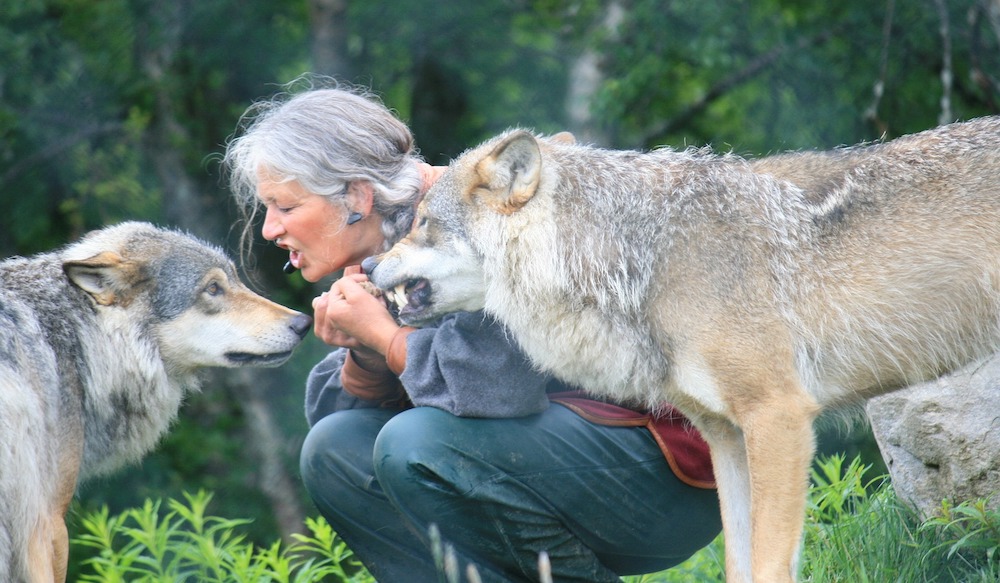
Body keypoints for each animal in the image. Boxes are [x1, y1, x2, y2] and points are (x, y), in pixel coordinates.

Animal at [365, 118, 1000, 582]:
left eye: (422, 222)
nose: (368, 265)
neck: (638, 264)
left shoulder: (779, 418)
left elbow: (770, 567)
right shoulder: (726, 437)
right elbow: (740, 567)